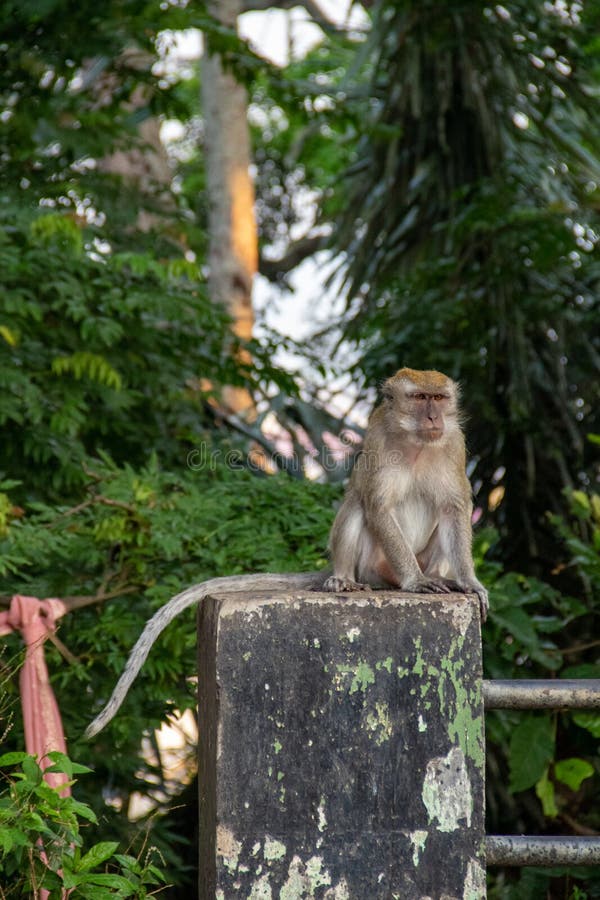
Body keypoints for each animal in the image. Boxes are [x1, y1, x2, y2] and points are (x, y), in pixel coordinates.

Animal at [85, 367, 487, 738]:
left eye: (439, 398)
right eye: (419, 398)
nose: (434, 418)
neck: (416, 442)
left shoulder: (453, 444)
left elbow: (454, 509)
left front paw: (468, 582)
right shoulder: (379, 440)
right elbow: (378, 507)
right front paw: (415, 582)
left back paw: (439, 575)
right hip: (372, 566)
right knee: (357, 505)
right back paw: (344, 579)